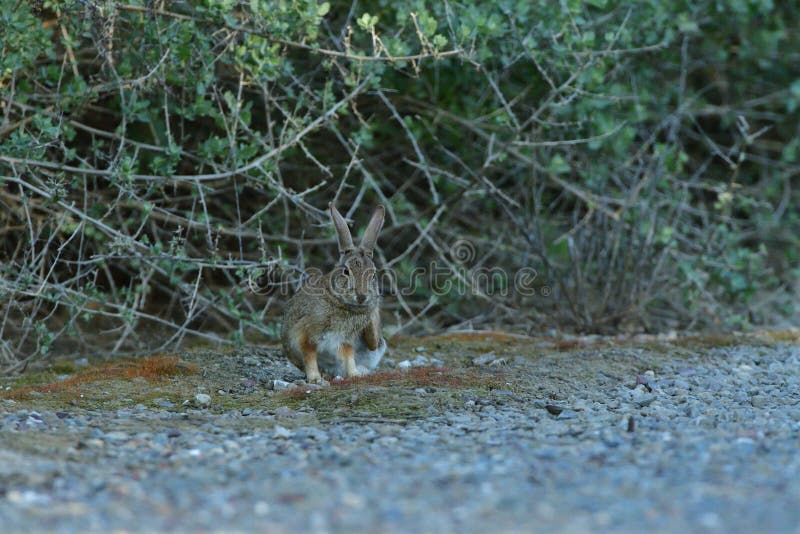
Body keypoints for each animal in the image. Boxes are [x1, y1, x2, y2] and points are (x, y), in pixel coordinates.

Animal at [281, 202, 387, 383]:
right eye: (346, 271)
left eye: (373, 274)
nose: (361, 296)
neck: (341, 303)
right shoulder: (307, 334)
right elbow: (310, 356)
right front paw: (315, 379)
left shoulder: (346, 340)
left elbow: (349, 357)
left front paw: (354, 375)